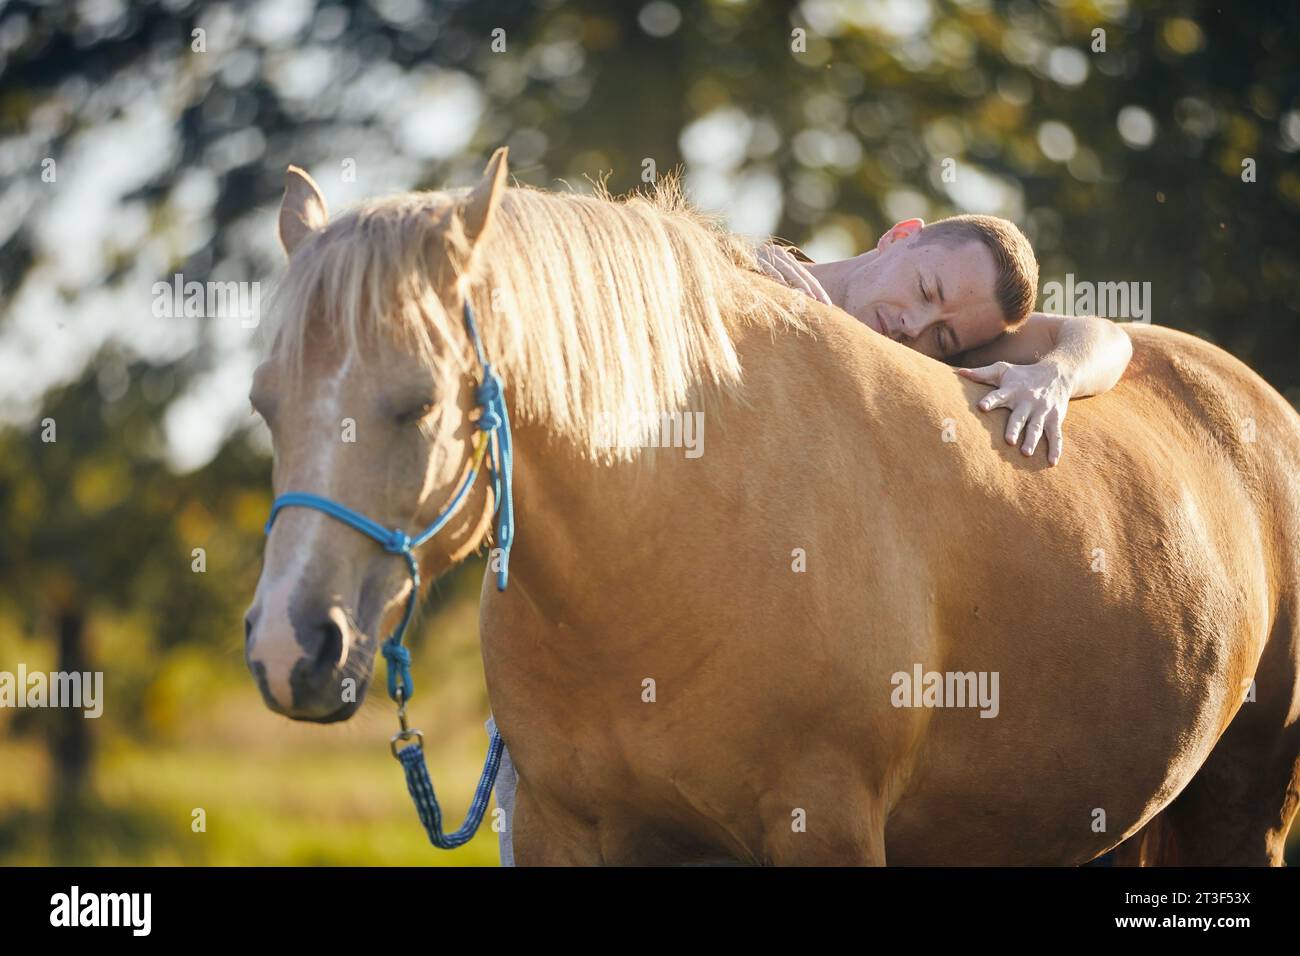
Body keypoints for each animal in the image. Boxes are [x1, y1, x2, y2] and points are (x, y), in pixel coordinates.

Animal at [244, 148, 1300, 865]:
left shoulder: (822, 826)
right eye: (263, 403)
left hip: (1245, 807)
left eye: (419, 404)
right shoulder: (559, 830)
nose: (292, 649)